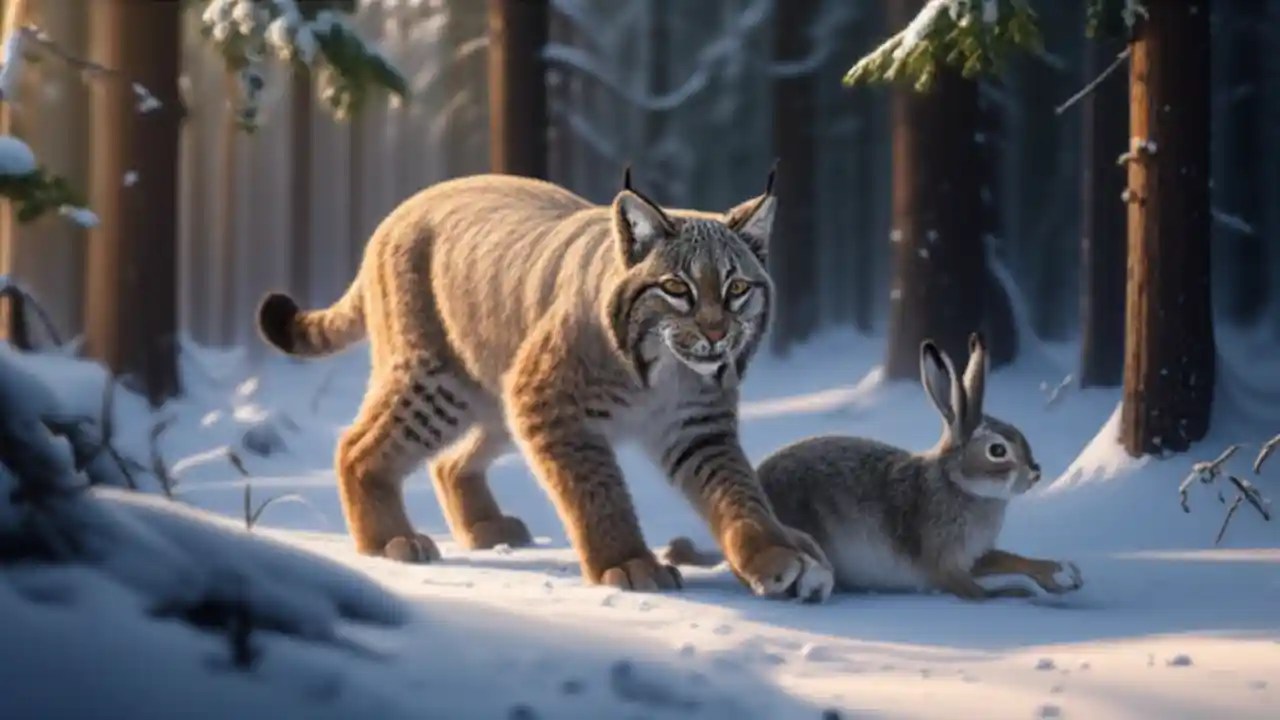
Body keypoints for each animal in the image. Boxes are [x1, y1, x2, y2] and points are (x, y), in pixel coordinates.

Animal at [662, 332, 1083, 600]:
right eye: (998, 450)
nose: (1035, 472)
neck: (957, 483)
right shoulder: (944, 564)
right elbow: (977, 594)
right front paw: (1016, 592)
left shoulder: (974, 557)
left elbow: (1009, 558)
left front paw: (1060, 575)